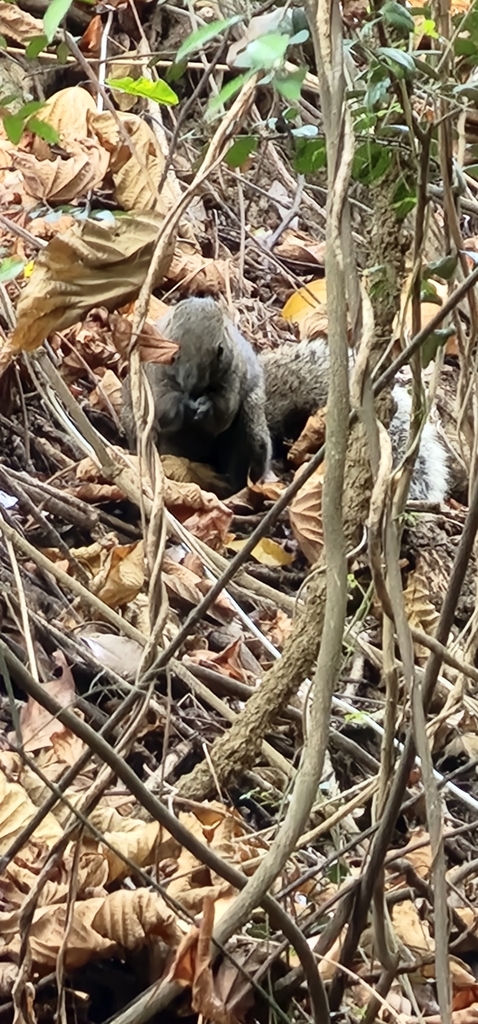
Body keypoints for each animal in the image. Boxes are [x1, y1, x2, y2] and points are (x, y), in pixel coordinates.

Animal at [122, 298, 449, 504]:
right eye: (173, 353)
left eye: (221, 351)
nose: (192, 387)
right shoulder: (150, 370)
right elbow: (160, 408)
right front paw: (182, 405)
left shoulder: (234, 376)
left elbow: (223, 415)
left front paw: (205, 408)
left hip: (252, 430)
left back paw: (236, 486)